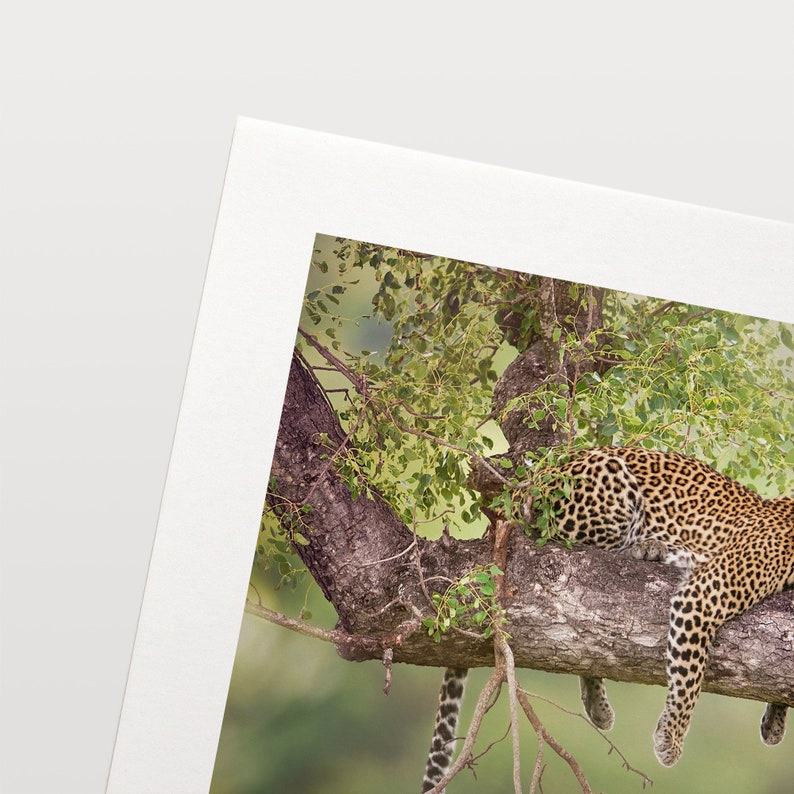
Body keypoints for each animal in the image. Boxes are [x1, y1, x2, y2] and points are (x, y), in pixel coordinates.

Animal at [421, 446, 794, 790]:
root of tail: (547, 472)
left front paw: (774, 723)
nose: (773, 726)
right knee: (578, 551)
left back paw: (597, 706)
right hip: (607, 486)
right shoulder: (702, 595)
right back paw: (648, 548)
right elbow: (689, 678)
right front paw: (670, 741)